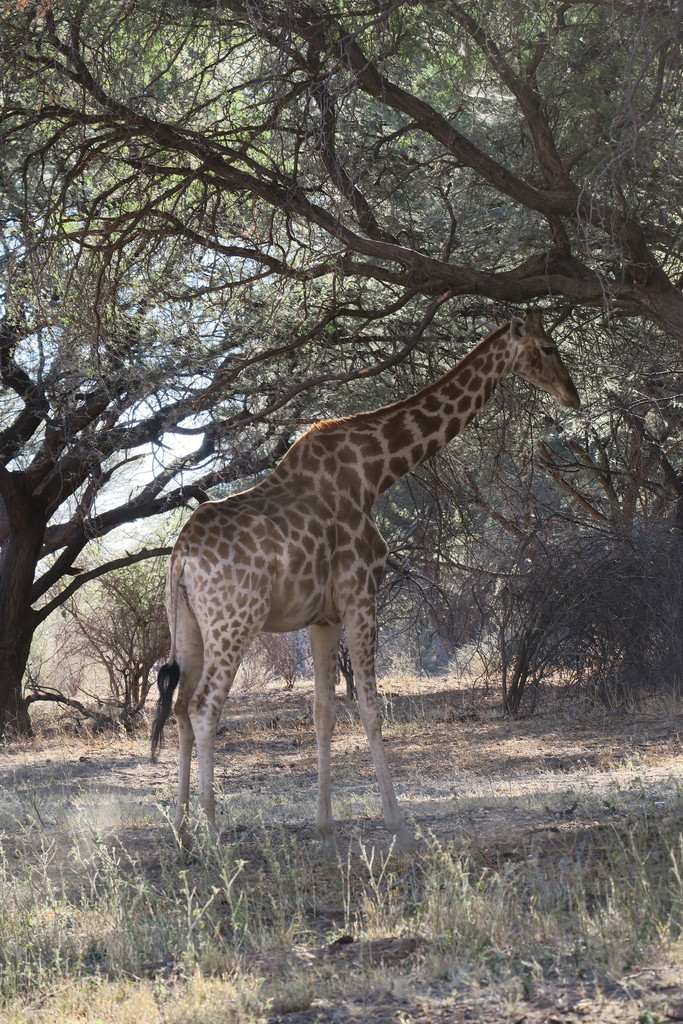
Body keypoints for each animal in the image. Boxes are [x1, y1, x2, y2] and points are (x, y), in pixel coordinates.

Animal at [152, 310, 580, 851]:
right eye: (547, 347)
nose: (573, 395)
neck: (373, 472)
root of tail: (181, 558)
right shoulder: (361, 594)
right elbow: (373, 708)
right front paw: (399, 824)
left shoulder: (323, 617)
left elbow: (323, 712)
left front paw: (326, 825)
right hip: (235, 620)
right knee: (206, 707)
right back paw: (213, 831)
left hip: (187, 625)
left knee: (180, 707)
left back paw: (182, 829)